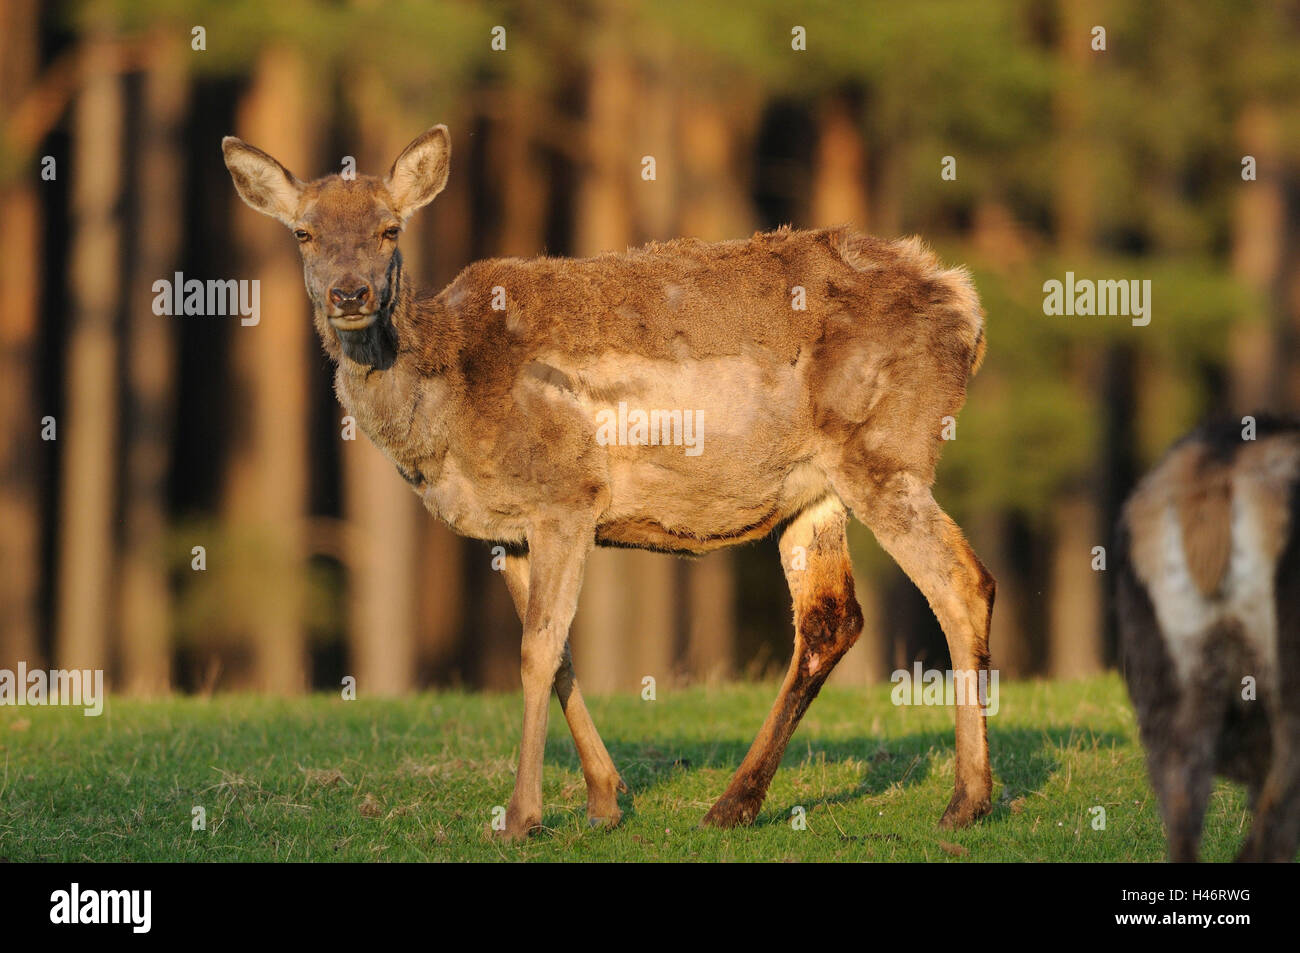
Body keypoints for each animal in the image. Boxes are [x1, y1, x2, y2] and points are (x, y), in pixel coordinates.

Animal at [222, 124, 996, 841]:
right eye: (303, 232)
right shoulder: (513, 530)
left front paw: (522, 817)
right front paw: (603, 799)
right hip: (812, 492)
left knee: (962, 582)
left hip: (886, 450)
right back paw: (734, 804)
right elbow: (560, 654)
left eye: (390, 227)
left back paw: (966, 801)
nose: (350, 293)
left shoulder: (566, 495)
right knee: (831, 619)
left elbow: (535, 654)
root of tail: (967, 305)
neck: (449, 402)